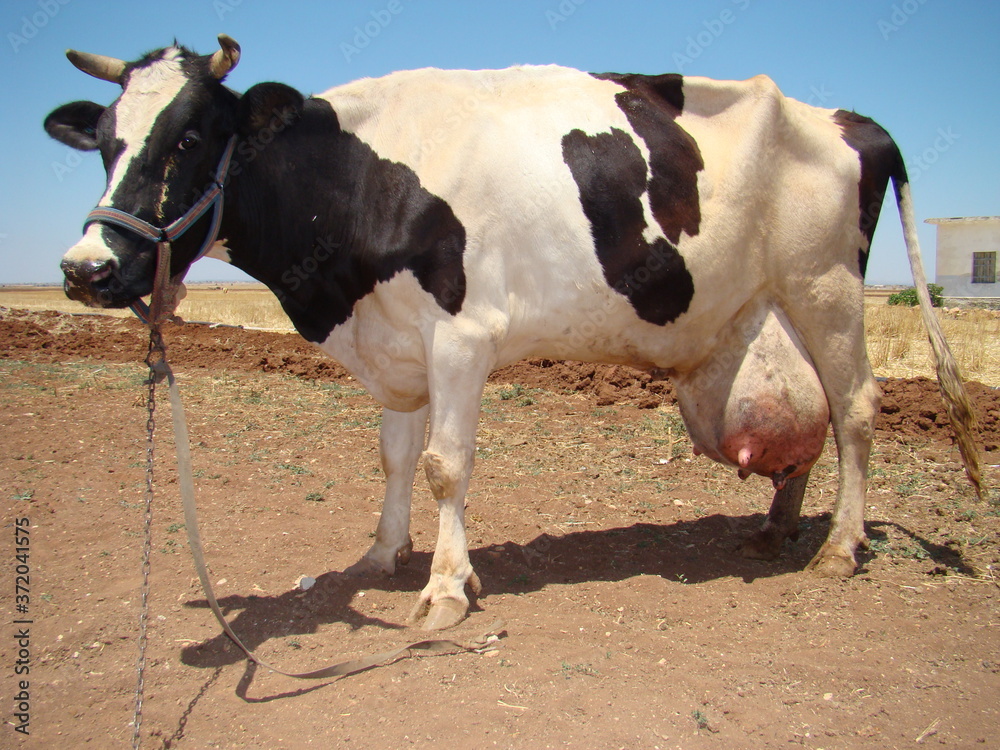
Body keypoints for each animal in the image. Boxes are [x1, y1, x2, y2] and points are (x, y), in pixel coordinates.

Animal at [45, 35, 980, 630]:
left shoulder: (462, 335)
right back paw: (778, 527)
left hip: (828, 287)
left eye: (191, 136)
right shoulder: (399, 343)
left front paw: (445, 589)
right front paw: (382, 555)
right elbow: (394, 457)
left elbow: (444, 466)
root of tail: (846, 118)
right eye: (105, 142)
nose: (85, 268)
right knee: (808, 416)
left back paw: (842, 547)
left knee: (855, 408)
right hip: (773, 306)